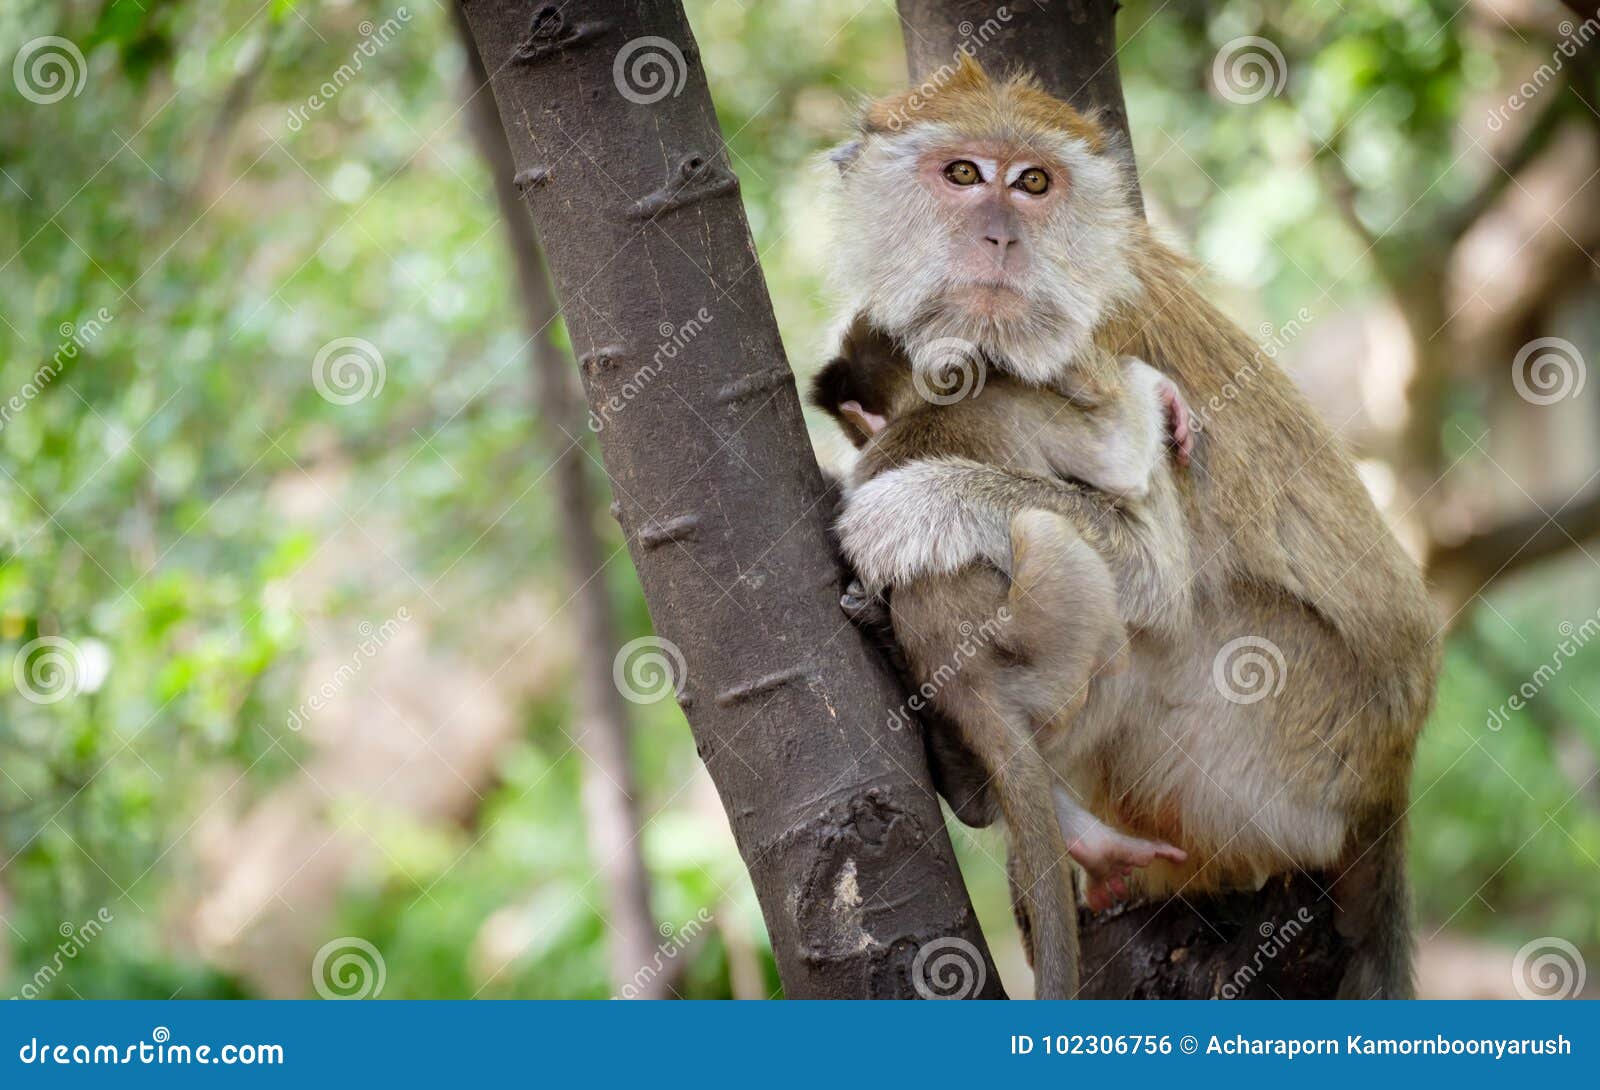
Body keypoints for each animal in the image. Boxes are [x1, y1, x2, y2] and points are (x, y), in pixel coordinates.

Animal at [812, 316, 1192, 997]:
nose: (857, 438)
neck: (922, 402)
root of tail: (965, 675)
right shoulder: (1017, 398)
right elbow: (1120, 457)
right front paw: (1154, 388)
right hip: (1063, 646)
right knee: (1046, 530)